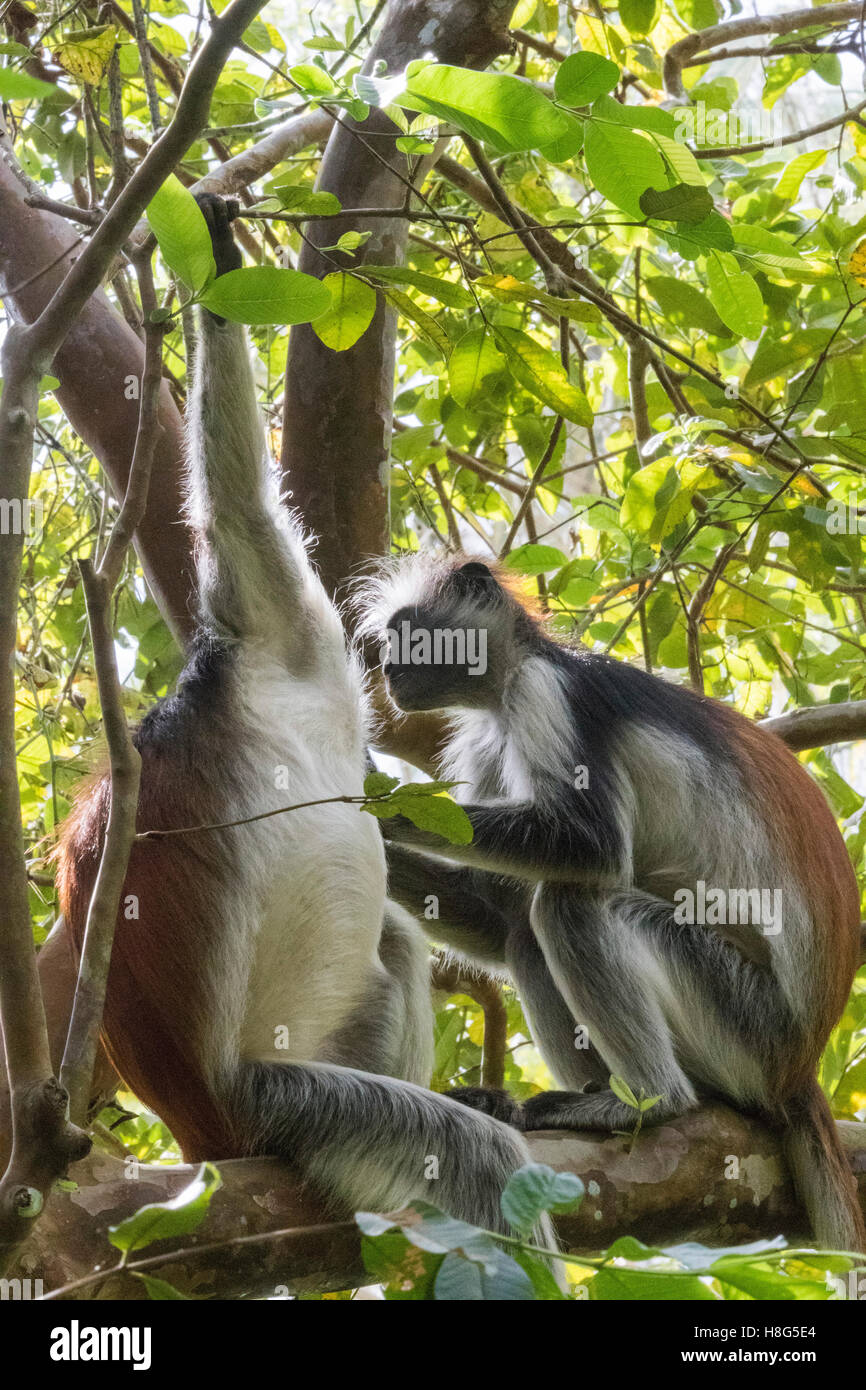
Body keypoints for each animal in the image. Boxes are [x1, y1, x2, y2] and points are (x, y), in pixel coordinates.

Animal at [55, 196, 554, 1246]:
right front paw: (212, 254)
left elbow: (241, 501)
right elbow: (239, 503)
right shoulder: (263, 619)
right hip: (272, 1098)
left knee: (395, 940)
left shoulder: (287, 632)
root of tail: (206, 1132)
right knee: (477, 1161)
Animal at [357, 552, 866, 1252]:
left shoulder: (547, 695)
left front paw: (375, 802)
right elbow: (495, 916)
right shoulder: (488, 738)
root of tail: (800, 1063)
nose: (387, 670)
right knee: (526, 934)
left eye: (408, 637)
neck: (509, 679)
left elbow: (592, 849)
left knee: (572, 903)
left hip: (748, 1021)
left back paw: (645, 1101)